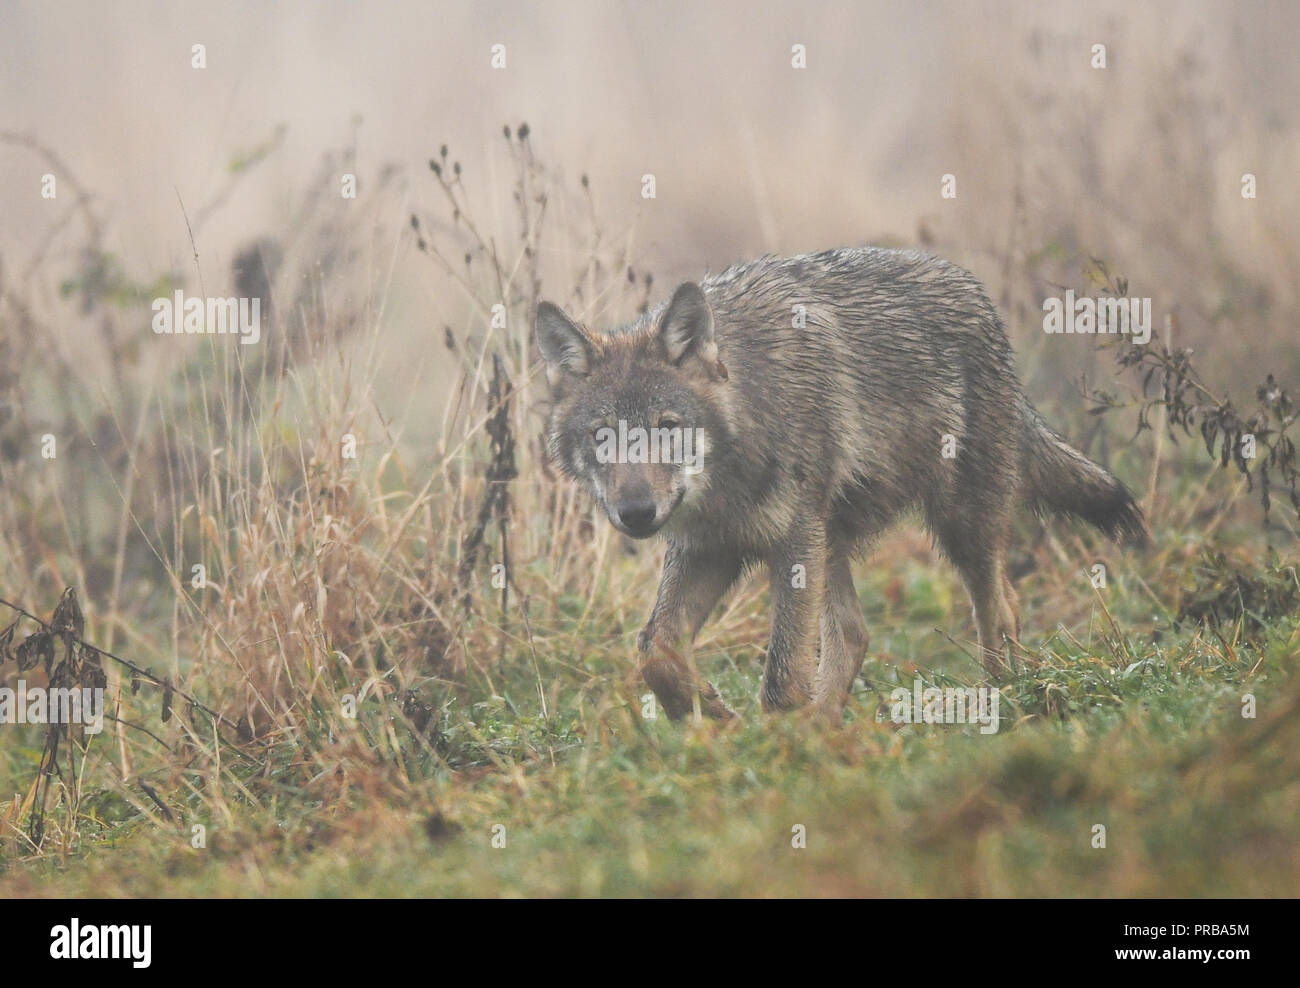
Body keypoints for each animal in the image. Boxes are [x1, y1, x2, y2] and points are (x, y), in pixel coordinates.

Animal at [536, 247, 1147, 720]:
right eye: (602, 437)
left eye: (668, 428)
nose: (636, 513)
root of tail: (975, 290)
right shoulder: (710, 547)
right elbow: (655, 651)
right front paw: (716, 718)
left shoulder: (790, 539)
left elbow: (782, 679)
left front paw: (777, 746)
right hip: (832, 539)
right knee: (857, 633)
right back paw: (828, 724)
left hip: (955, 526)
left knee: (999, 610)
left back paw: (1001, 697)